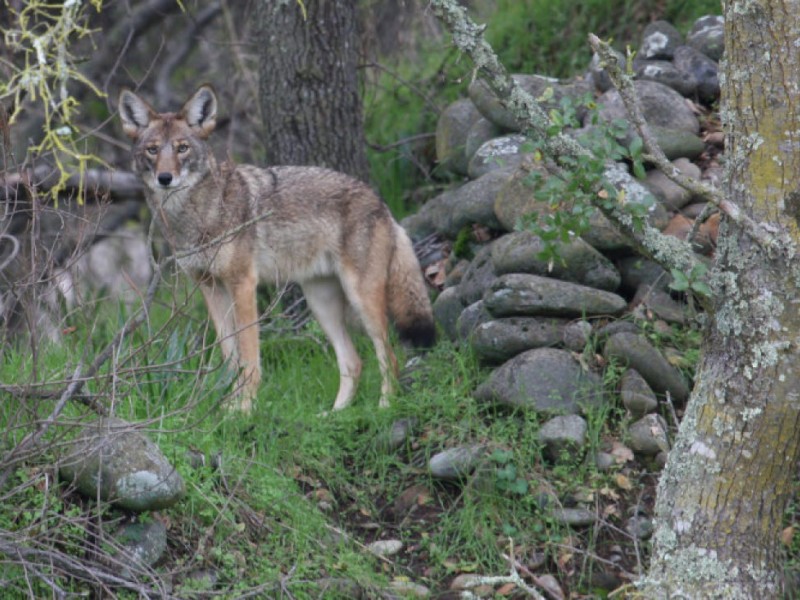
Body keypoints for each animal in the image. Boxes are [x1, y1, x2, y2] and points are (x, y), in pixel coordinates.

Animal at [118, 84, 435, 413]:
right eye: (153, 149)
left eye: (182, 148)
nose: (165, 178)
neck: (199, 214)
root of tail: (381, 204)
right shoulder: (210, 287)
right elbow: (230, 357)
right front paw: (227, 406)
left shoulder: (243, 284)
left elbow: (249, 358)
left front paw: (244, 409)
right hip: (320, 303)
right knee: (353, 361)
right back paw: (333, 414)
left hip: (362, 299)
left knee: (390, 356)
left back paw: (385, 406)